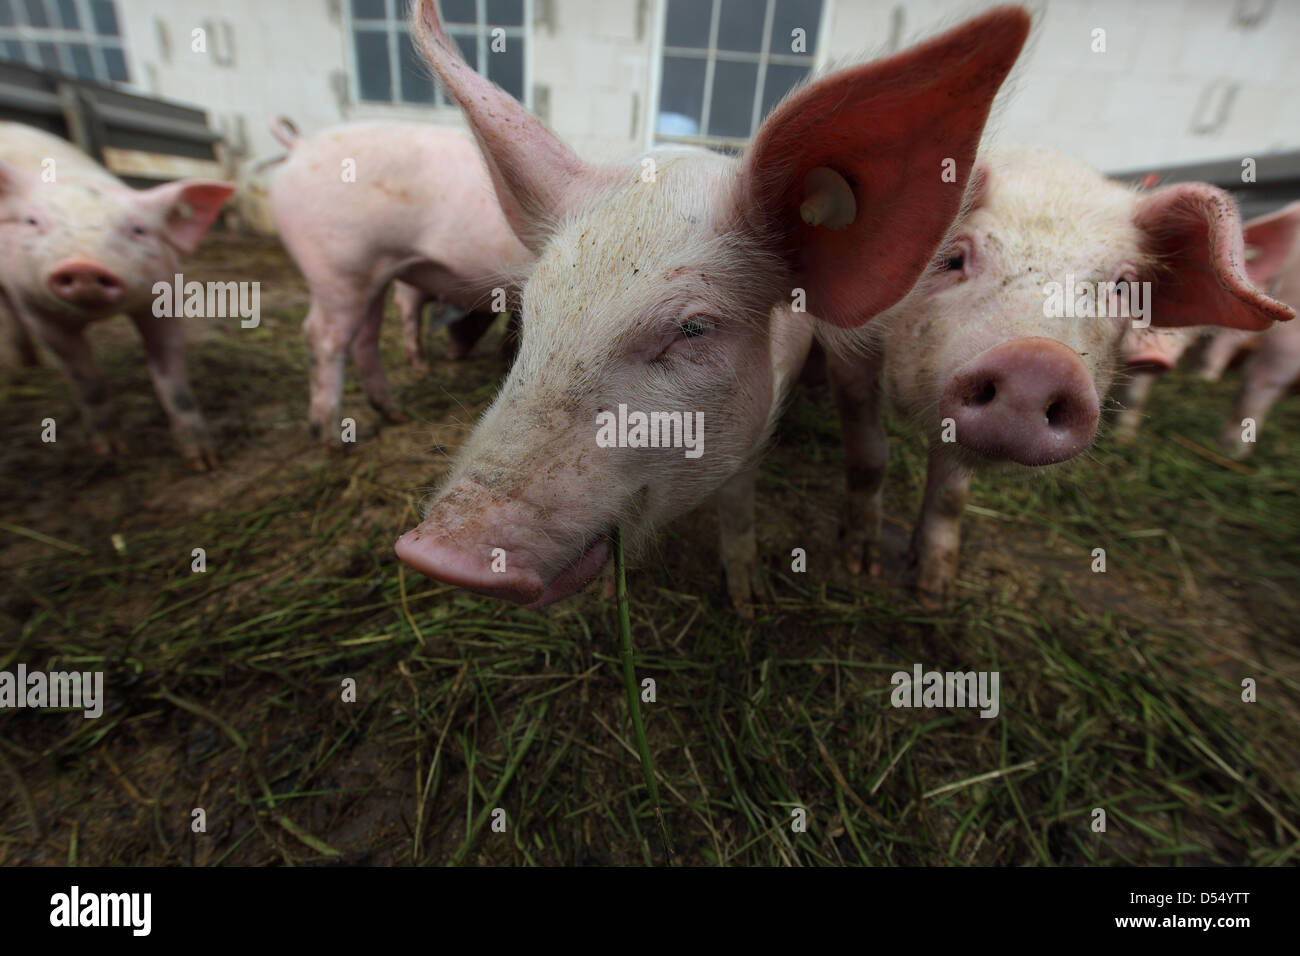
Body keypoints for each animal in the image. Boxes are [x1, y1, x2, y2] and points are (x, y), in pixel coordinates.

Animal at [0, 122, 234, 469]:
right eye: (32, 221)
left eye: (138, 229)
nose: (83, 266)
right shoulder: (38, 311)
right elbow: (86, 379)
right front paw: (112, 452)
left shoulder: (161, 300)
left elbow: (172, 376)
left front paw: (204, 461)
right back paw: (20, 369)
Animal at [266, 118, 532, 444]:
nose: (453, 354)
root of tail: (300, 146)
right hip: (341, 267)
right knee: (321, 337)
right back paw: (332, 439)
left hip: (372, 276)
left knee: (364, 340)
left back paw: (395, 415)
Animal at [394, 0, 1031, 609]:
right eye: (529, 314)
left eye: (695, 328)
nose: (438, 551)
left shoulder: (759, 414)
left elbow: (737, 501)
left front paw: (747, 604)